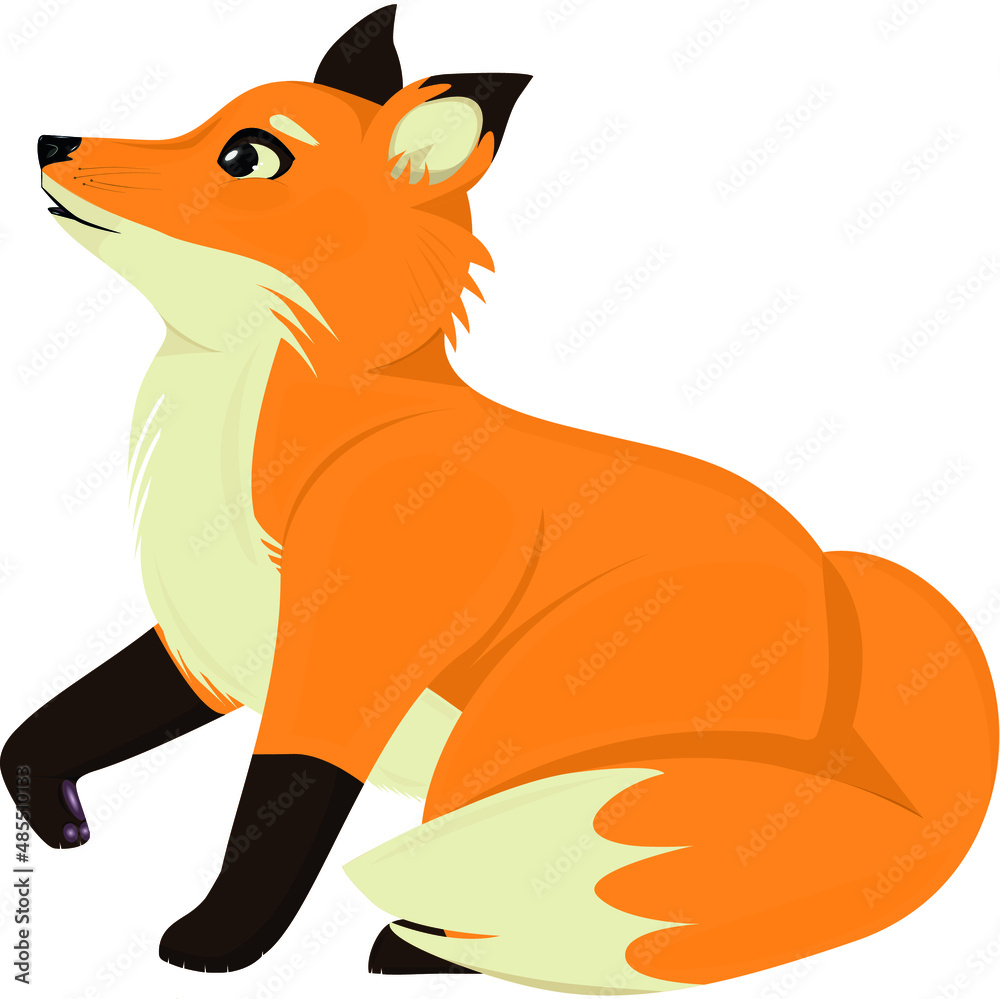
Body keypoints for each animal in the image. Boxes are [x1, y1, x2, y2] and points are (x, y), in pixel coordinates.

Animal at [2, 4, 997, 994]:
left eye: (247, 156)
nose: (50, 140)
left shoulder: (350, 648)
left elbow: (280, 806)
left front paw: (217, 941)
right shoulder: (228, 630)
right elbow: (51, 725)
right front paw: (57, 821)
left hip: (511, 724)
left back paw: (412, 948)